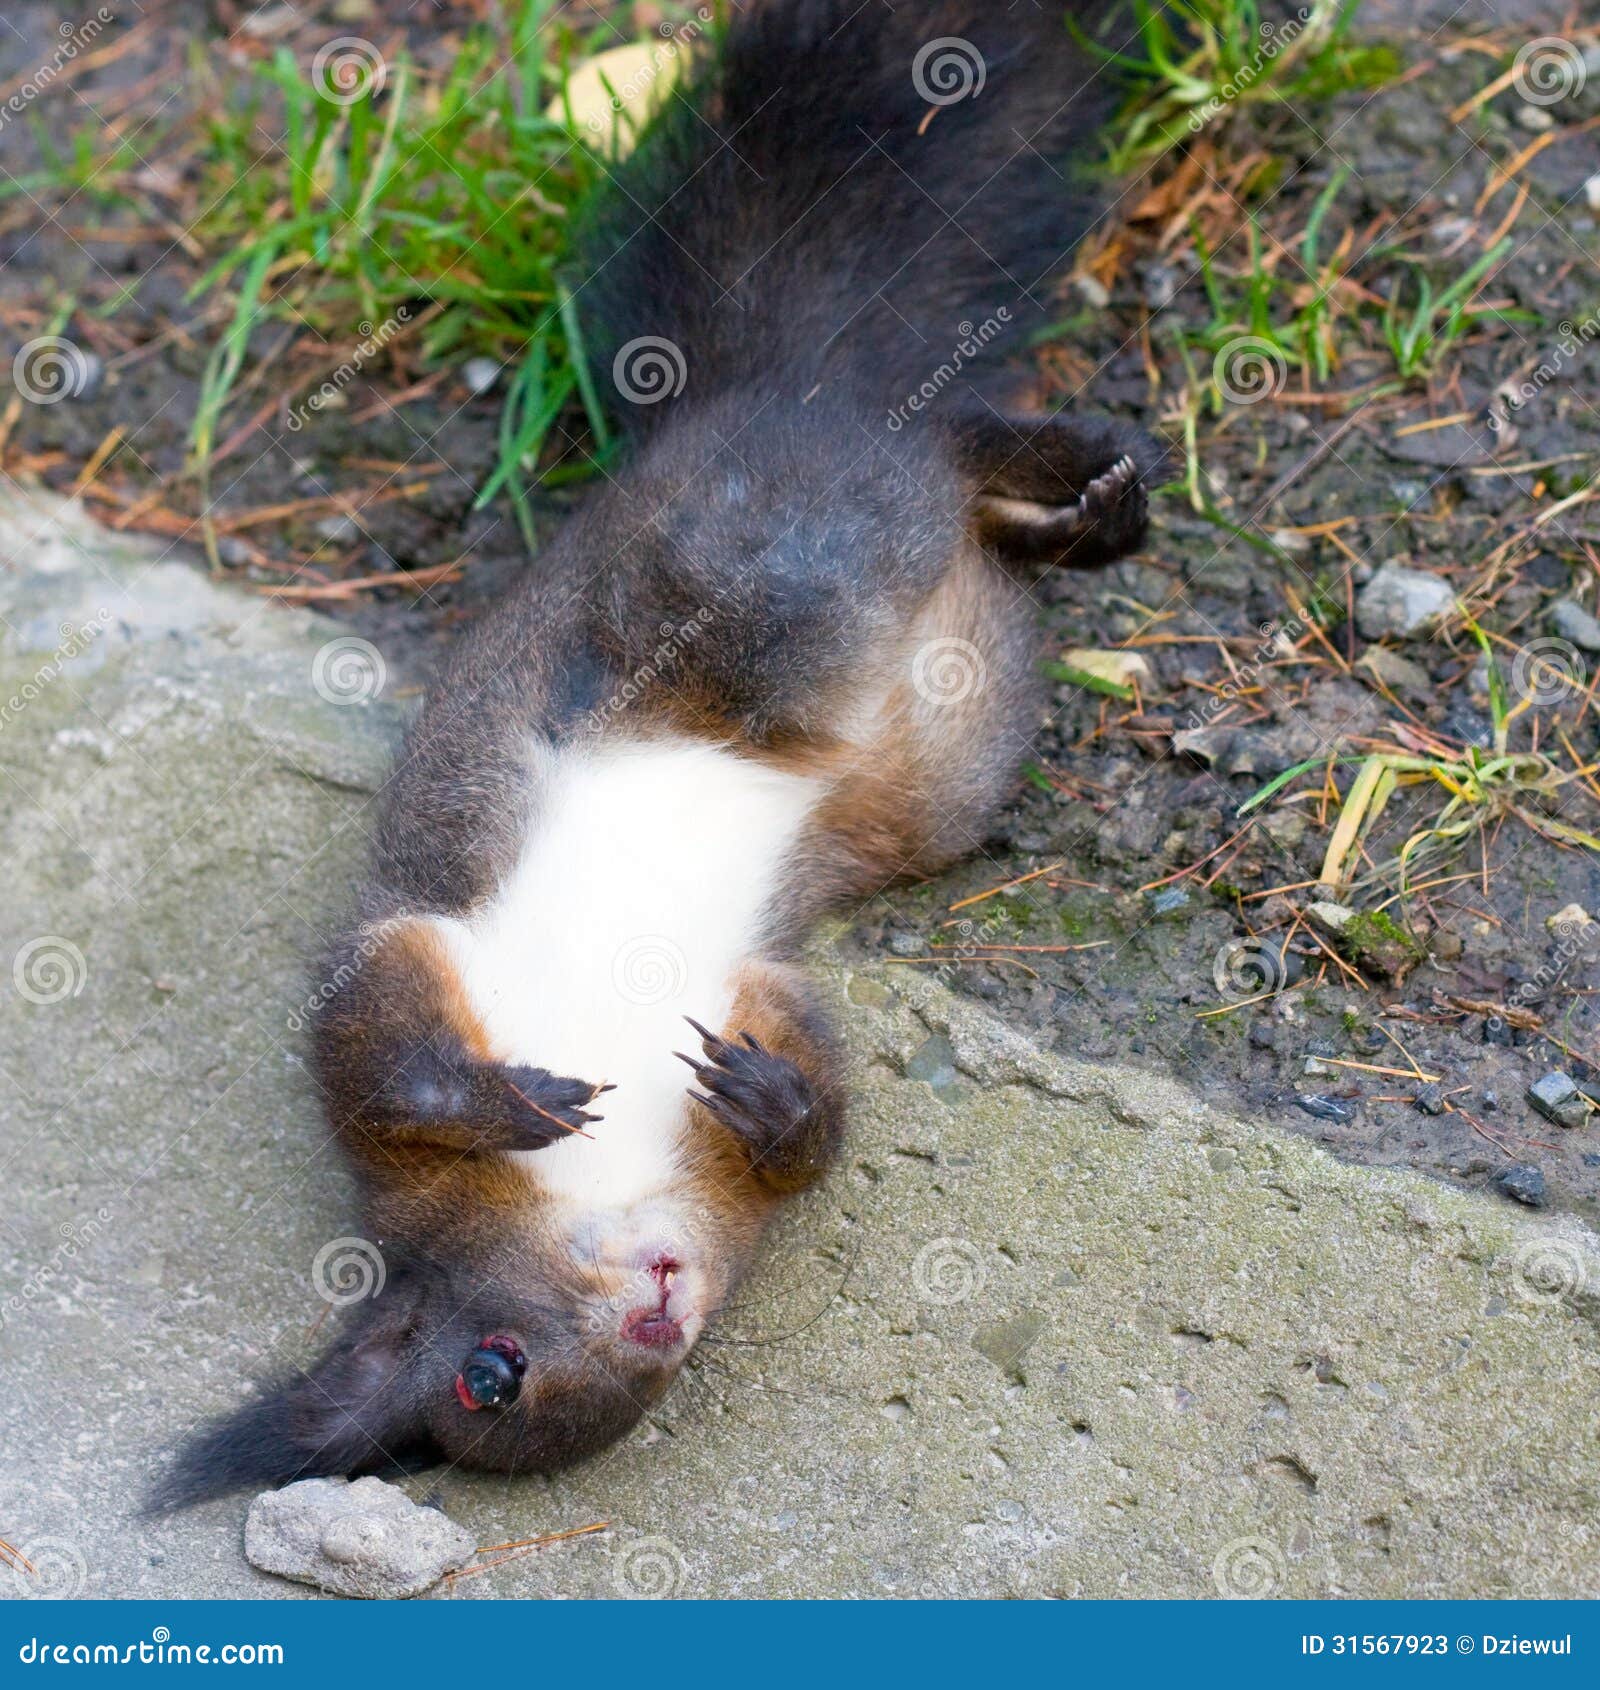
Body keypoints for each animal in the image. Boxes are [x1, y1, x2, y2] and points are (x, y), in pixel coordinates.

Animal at [157, 0, 1162, 1507]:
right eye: (495, 1383)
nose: (659, 1324)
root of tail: (729, 404)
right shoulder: (754, 989)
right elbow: (809, 1118)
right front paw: (751, 1101)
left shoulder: (413, 975)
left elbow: (363, 1047)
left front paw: (535, 1099)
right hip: (957, 713)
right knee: (950, 491)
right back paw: (1077, 513)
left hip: (770, 575)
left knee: (921, 445)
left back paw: (1088, 486)